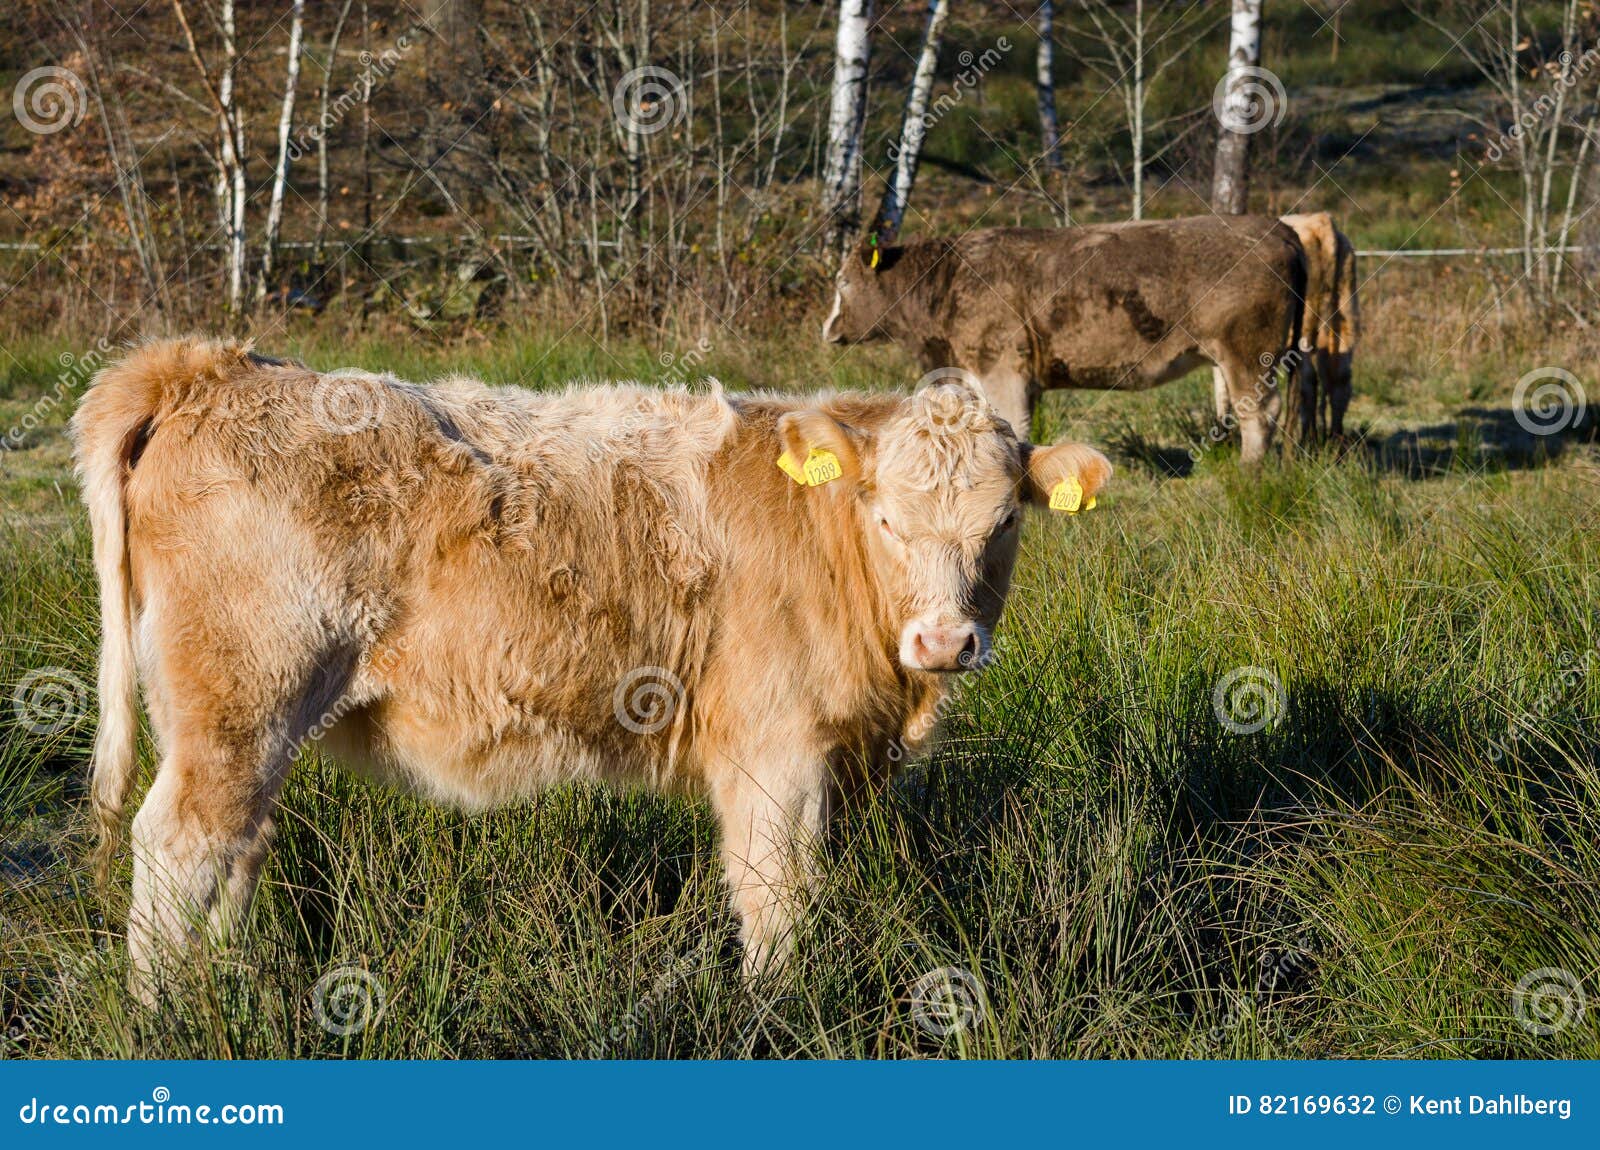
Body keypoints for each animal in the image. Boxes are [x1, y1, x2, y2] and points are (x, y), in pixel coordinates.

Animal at [71, 338, 1112, 994]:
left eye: (1003, 522)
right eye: (887, 515)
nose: (944, 641)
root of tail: (210, 367)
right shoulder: (773, 753)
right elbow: (777, 900)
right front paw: (784, 1012)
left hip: (245, 725)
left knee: (238, 847)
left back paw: (228, 986)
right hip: (239, 703)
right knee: (179, 846)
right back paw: (167, 1016)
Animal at [822, 214, 1306, 464]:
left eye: (843, 282)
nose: (827, 329)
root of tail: (1277, 226)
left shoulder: (1002, 371)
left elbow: (1013, 429)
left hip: (1248, 354)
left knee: (1259, 413)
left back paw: (1249, 471)